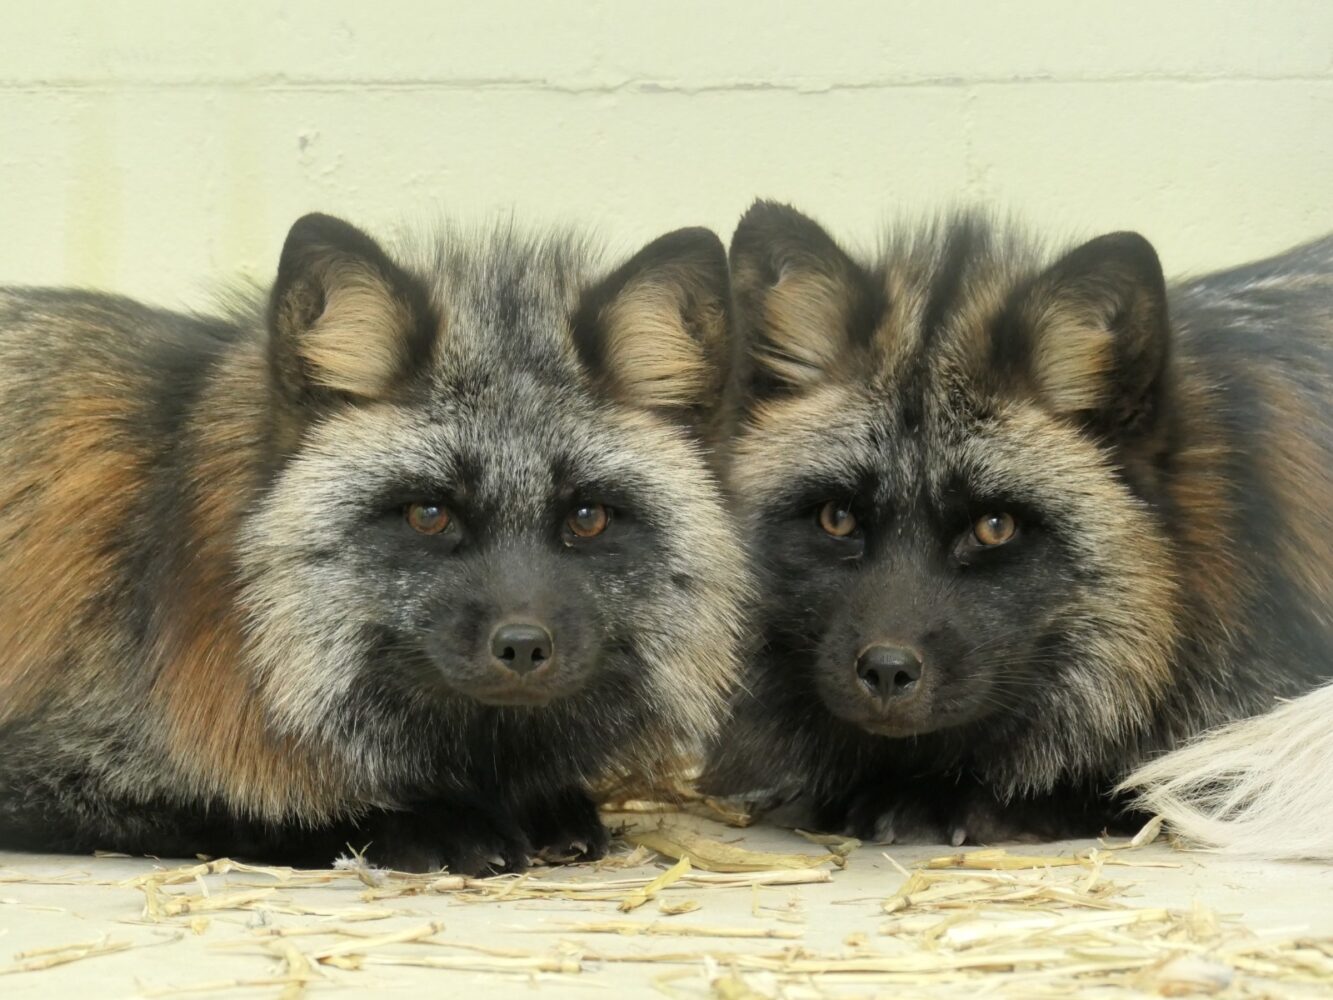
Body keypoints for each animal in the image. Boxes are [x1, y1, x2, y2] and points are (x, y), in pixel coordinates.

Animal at [0, 213, 747, 873]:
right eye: (428, 514)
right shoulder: (46, 763)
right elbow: (267, 808)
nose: (523, 646)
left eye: (588, 517)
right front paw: (439, 823)